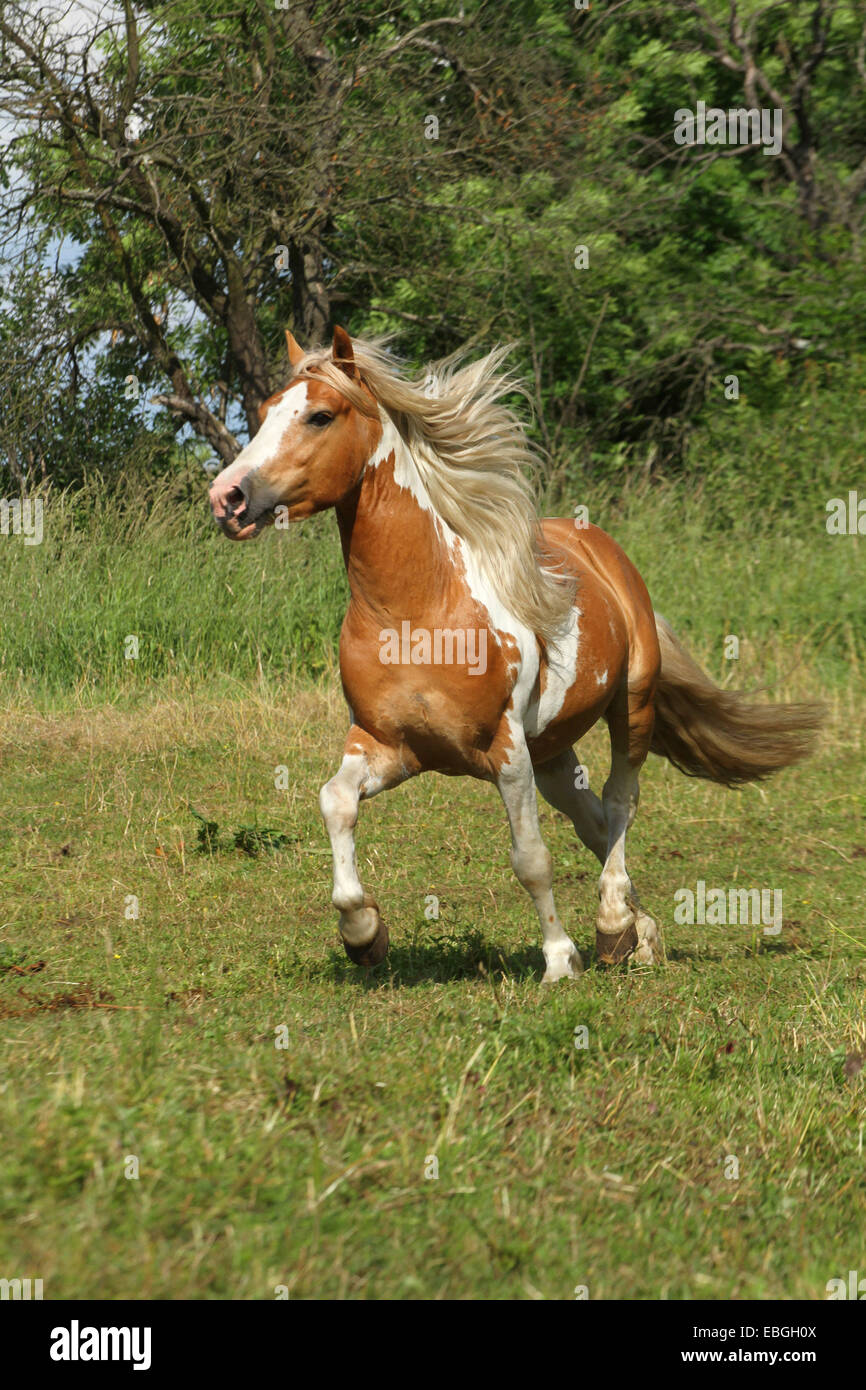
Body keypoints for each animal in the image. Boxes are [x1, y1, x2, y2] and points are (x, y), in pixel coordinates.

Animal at [208, 326, 822, 981]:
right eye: (266, 412)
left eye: (320, 415)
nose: (228, 498)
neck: (419, 611)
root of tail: (601, 549)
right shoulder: (386, 745)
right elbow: (335, 802)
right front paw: (363, 933)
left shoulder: (506, 753)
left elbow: (530, 858)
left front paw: (559, 961)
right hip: (552, 751)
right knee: (593, 820)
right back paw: (641, 933)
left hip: (630, 707)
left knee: (620, 802)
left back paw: (612, 925)